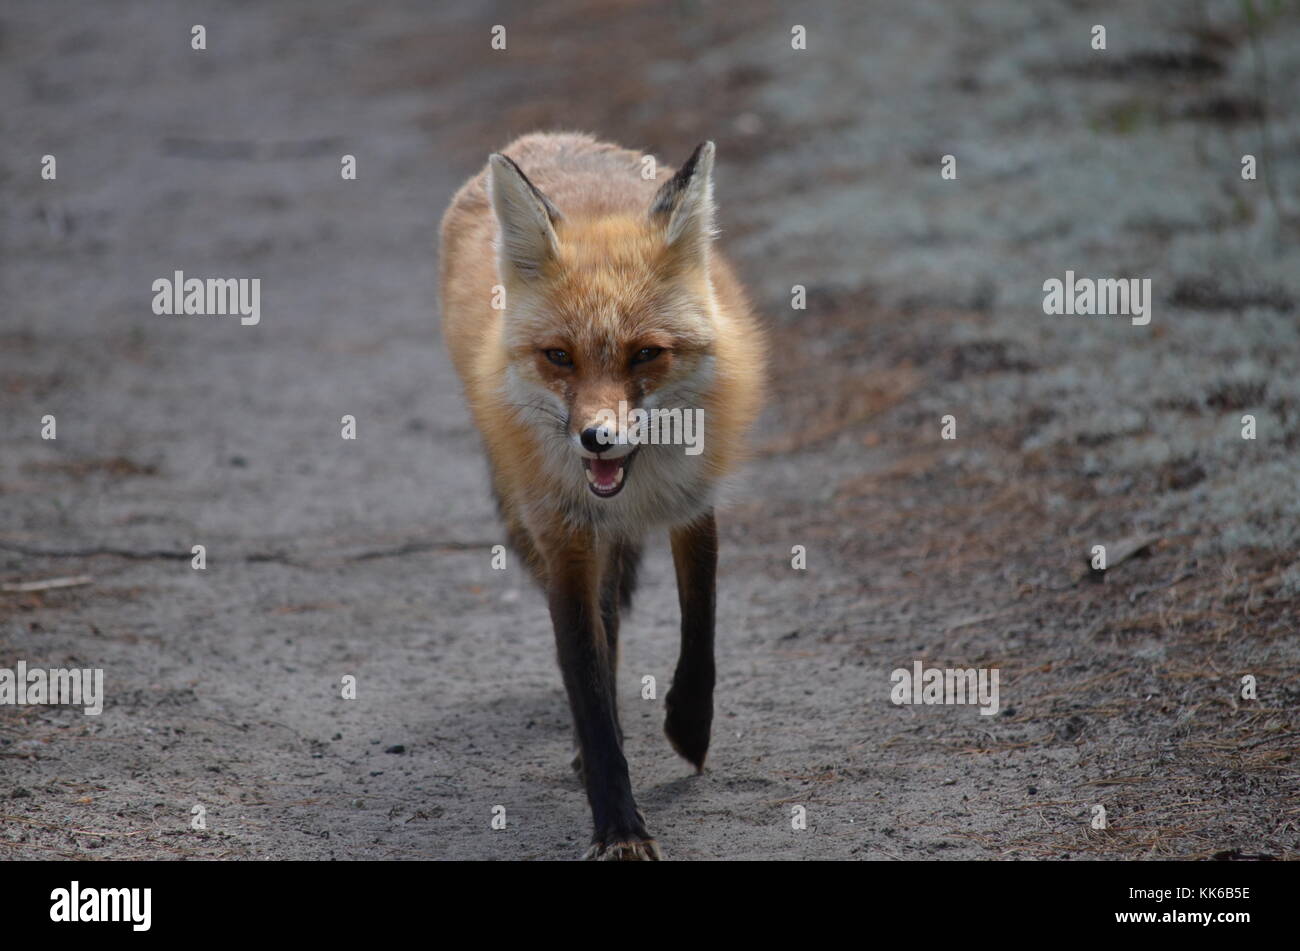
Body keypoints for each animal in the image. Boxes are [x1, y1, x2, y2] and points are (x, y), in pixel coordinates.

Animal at [438, 132, 765, 860]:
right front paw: (619, 825)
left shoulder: (693, 505)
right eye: (559, 356)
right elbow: (587, 682)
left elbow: (701, 625)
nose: (597, 439)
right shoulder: (565, 540)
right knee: (607, 627)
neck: (631, 493)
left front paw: (689, 725)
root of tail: (544, 138)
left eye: (646, 354)